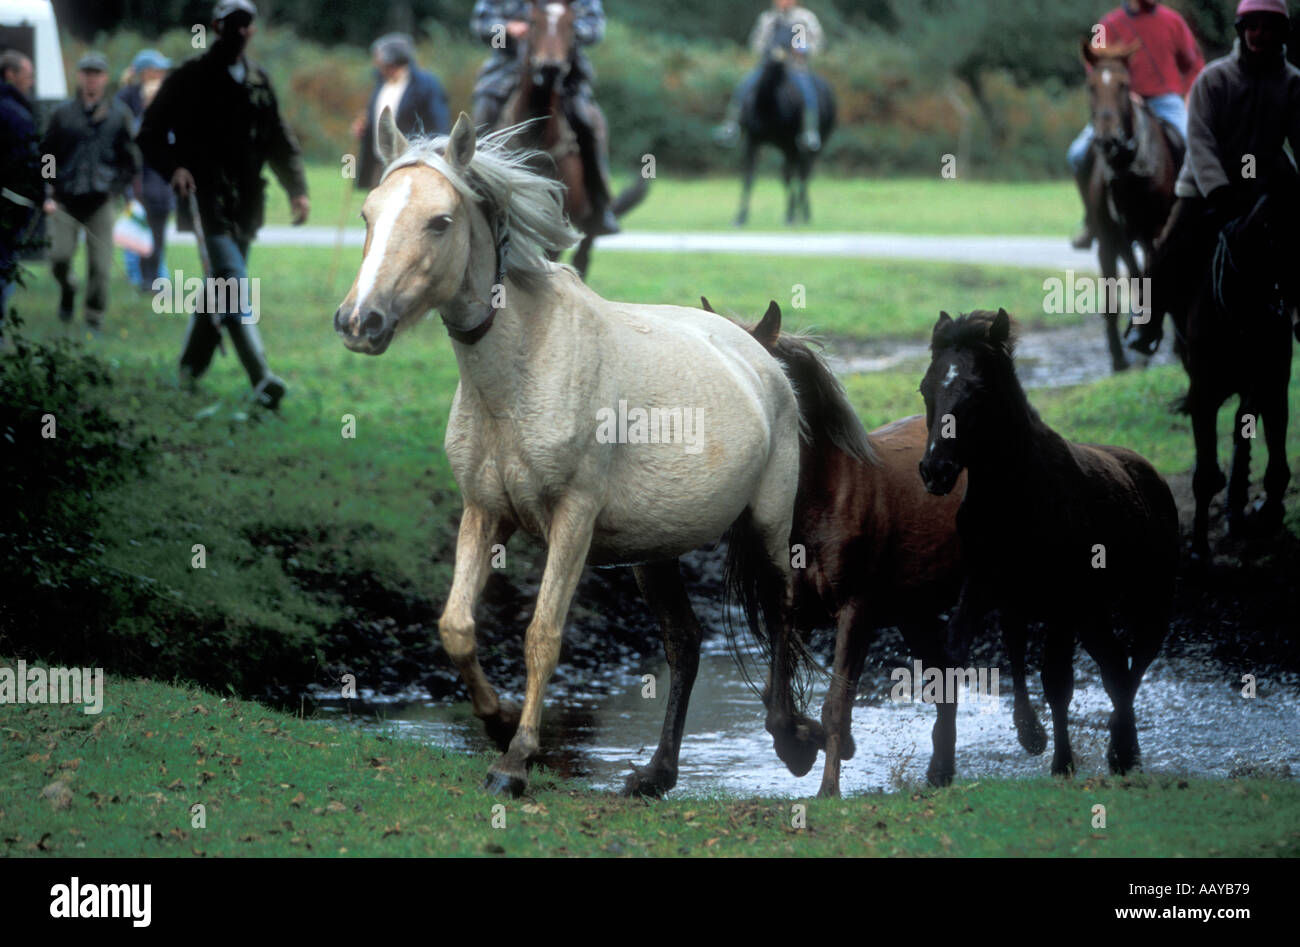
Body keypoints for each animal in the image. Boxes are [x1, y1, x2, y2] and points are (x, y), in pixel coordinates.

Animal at [334, 108, 810, 798]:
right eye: (369, 213)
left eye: (439, 221)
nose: (359, 322)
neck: (520, 374)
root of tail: (759, 353)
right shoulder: (483, 511)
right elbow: (457, 626)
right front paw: (497, 721)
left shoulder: (574, 519)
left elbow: (543, 635)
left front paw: (516, 759)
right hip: (656, 552)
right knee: (686, 640)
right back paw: (658, 773)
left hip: (770, 521)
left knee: (781, 608)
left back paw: (792, 737)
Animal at [733, 43, 835, 226]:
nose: (777, 57)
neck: (769, 108)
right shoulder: (753, 141)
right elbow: (749, 176)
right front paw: (740, 217)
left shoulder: (789, 145)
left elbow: (788, 176)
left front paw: (790, 215)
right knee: (801, 173)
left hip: (815, 146)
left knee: (804, 174)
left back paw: (804, 214)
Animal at [916, 309, 1178, 784]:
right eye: (926, 388)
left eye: (978, 391)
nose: (935, 470)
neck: (1017, 495)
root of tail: (1149, 473)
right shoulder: (987, 589)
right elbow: (959, 657)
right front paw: (942, 765)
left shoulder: (1062, 602)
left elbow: (1057, 681)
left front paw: (1063, 763)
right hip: (1090, 611)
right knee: (1114, 665)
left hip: (1148, 602)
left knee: (1131, 666)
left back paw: (1122, 750)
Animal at [1080, 39, 1181, 373]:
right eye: (1091, 86)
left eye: (1124, 85)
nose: (1107, 138)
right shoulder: (1109, 238)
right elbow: (1117, 293)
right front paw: (1119, 358)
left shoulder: (1157, 232)